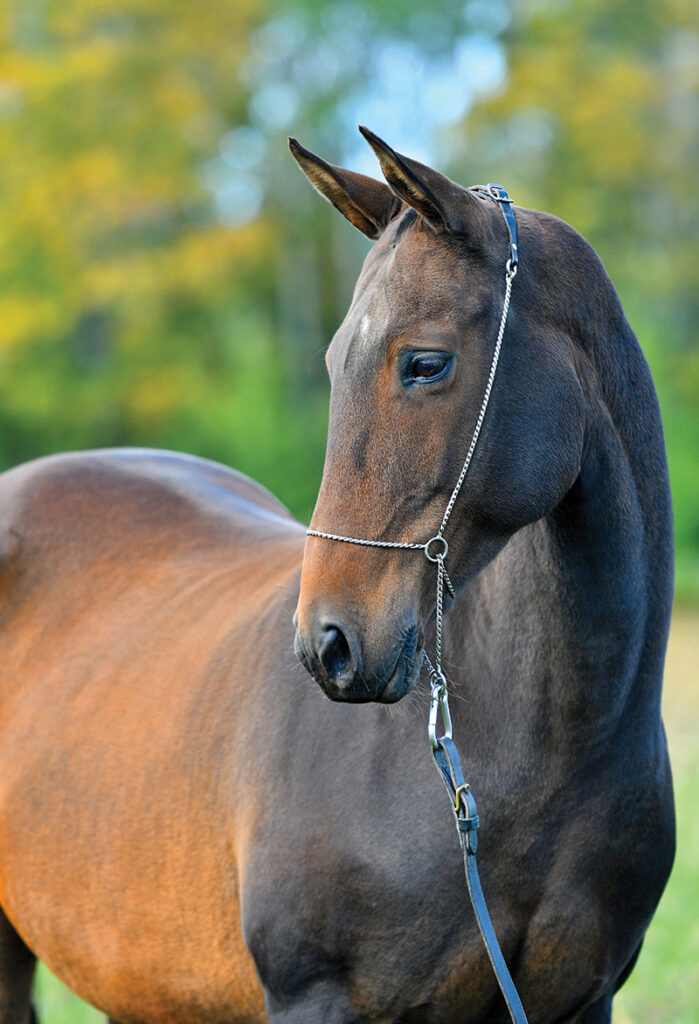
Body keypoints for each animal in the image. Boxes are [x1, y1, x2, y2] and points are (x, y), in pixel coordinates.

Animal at [0, 129, 674, 1024]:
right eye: (329, 362)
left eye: (423, 363)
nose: (329, 646)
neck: (547, 750)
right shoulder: (313, 996)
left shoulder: (582, 999)